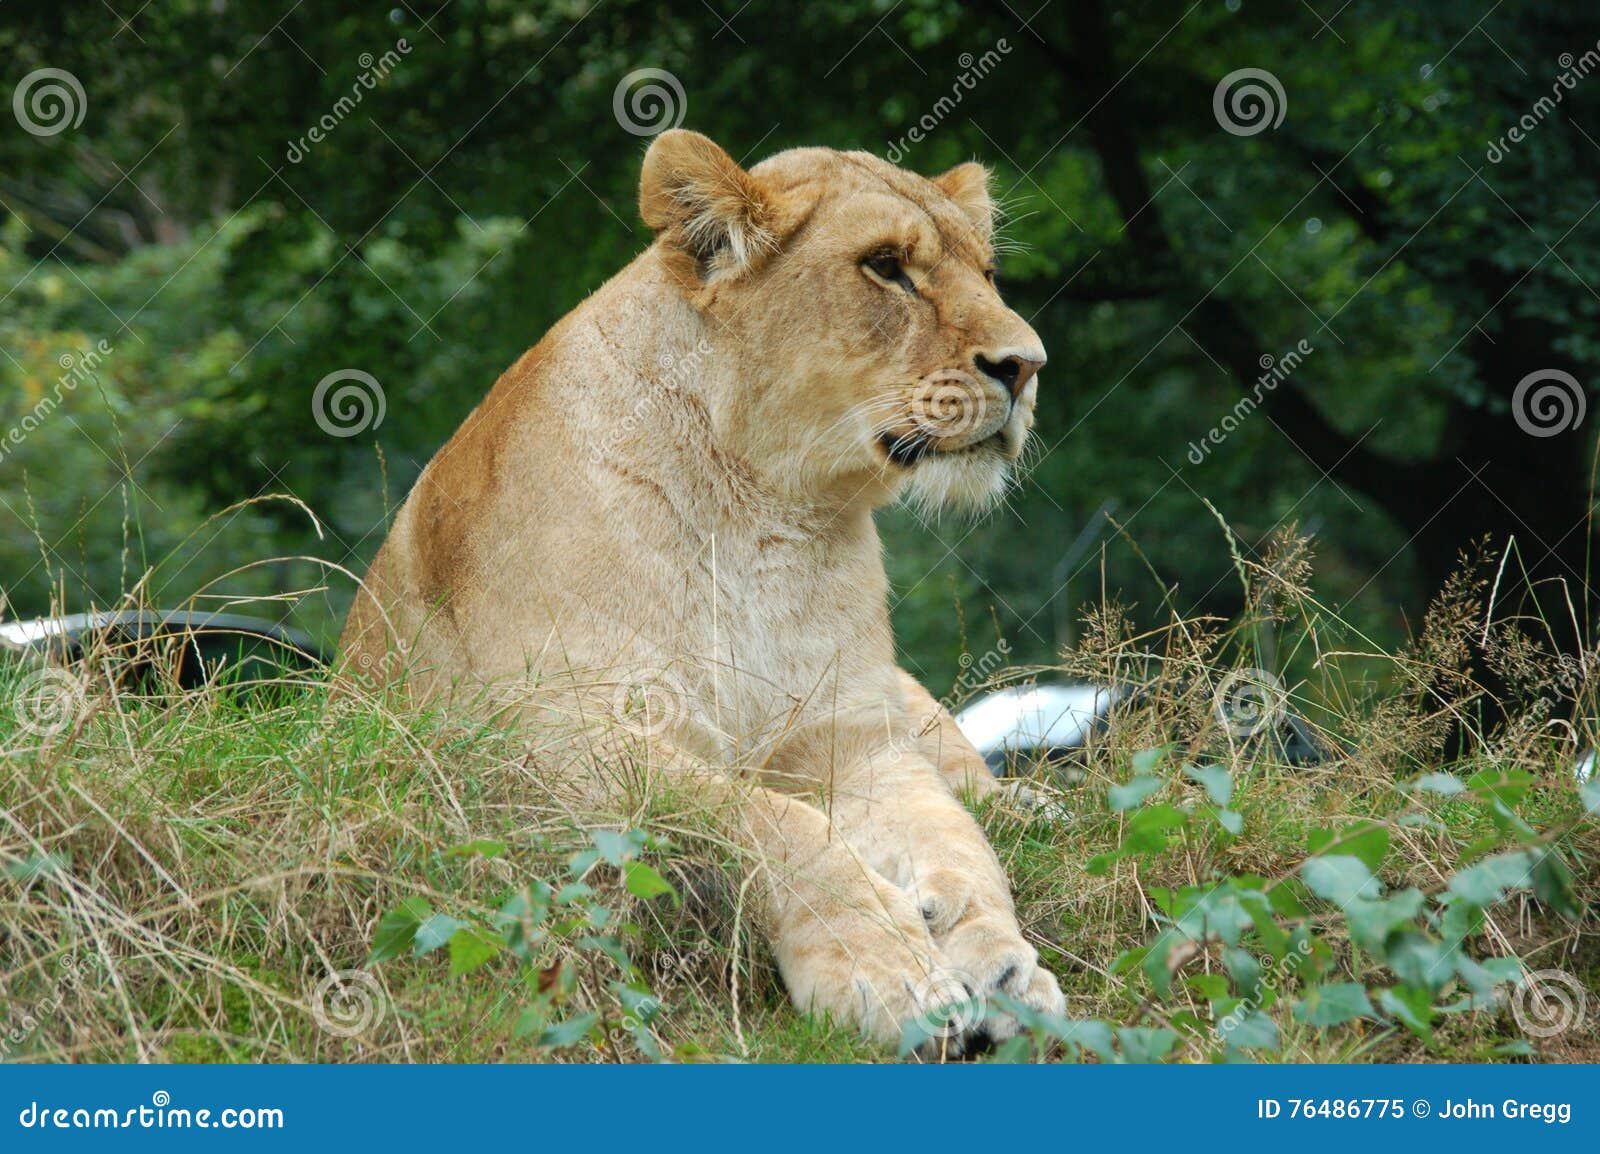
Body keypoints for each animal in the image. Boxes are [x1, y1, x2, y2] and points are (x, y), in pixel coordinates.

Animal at [339, 129, 1065, 1053]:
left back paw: (1037, 808)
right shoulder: (560, 741)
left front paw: (1005, 967)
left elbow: (958, 846)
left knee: (978, 793)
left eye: (987, 269)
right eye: (886, 266)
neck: (769, 516)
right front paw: (890, 975)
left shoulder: (853, 736)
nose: (1028, 366)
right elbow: (779, 825)